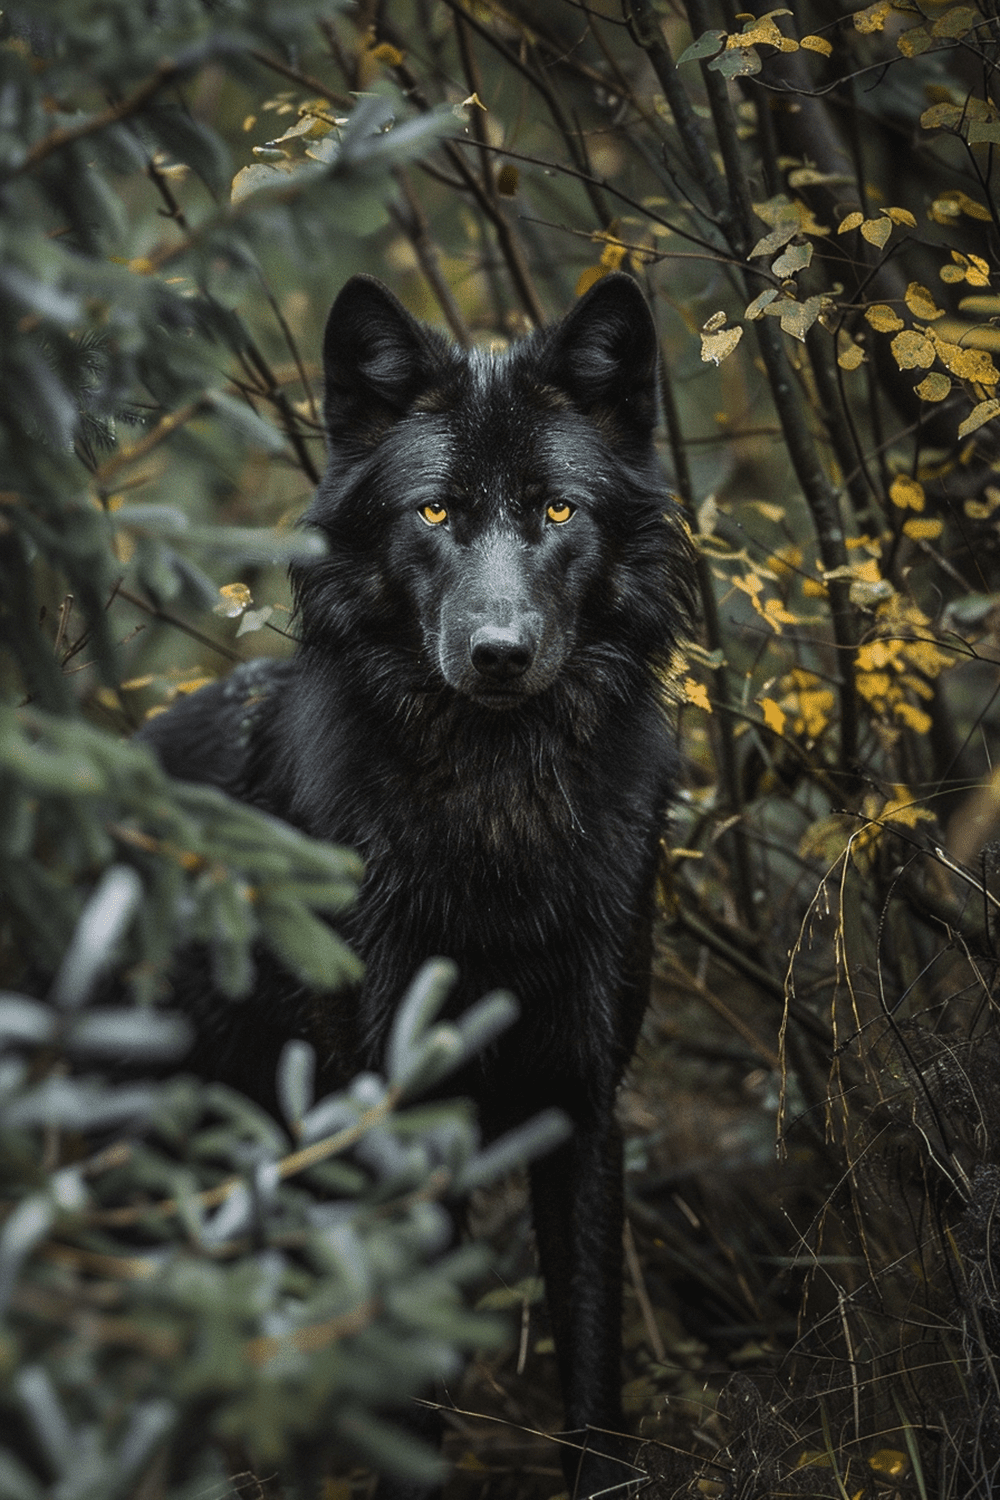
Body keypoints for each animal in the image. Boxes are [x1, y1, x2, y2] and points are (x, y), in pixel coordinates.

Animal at [138, 271, 695, 1494]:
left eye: (556, 512)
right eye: (435, 514)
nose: (498, 653)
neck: (493, 815)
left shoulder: (581, 1099)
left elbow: (593, 1362)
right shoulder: (387, 1114)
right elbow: (412, 1380)